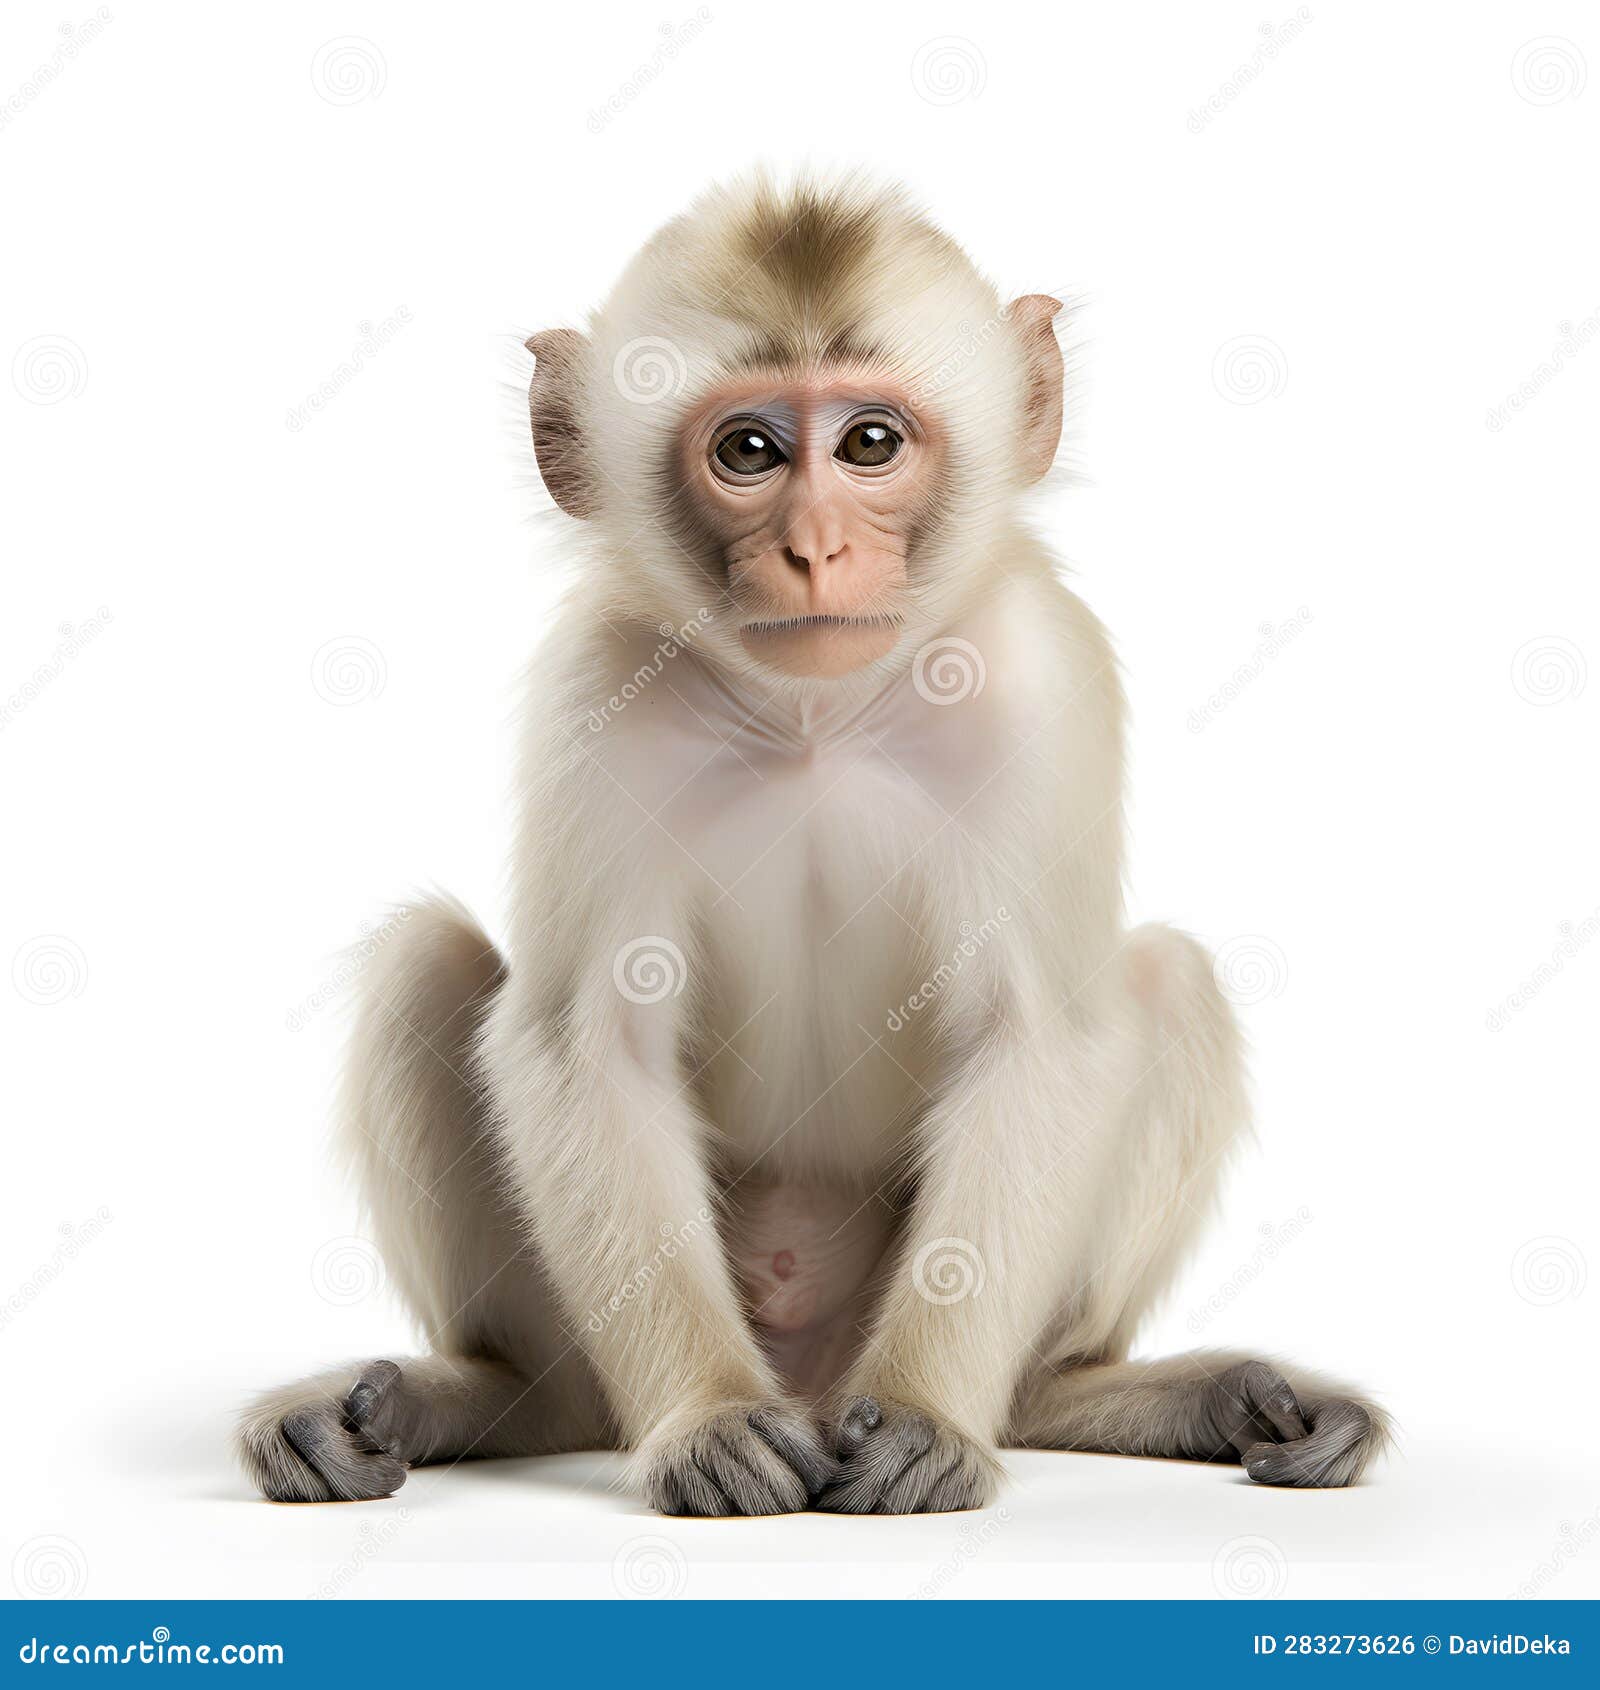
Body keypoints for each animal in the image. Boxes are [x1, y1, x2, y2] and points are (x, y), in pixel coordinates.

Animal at [237, 174, 1389, 1516]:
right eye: (749, 451)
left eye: (869, 444)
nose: (815, 549)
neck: (813, 722)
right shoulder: (596, 688)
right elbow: (588, 1045)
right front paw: (709, 1419)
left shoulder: (1038, 673)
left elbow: (1039, 1039)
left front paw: (929, 1416)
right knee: (428, 964)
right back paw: (480, 1397)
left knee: (1167, 980)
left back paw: (1103, 1394)